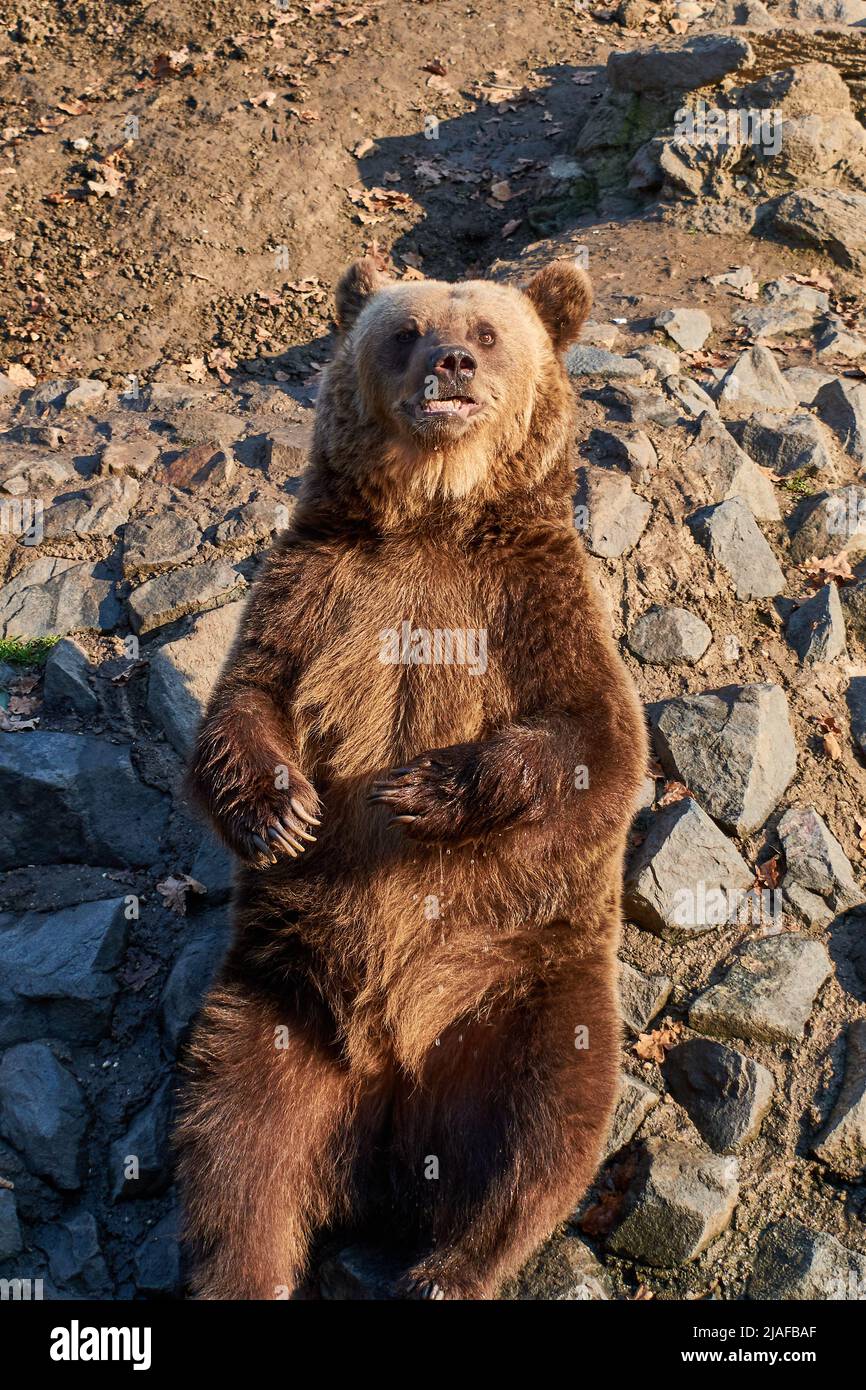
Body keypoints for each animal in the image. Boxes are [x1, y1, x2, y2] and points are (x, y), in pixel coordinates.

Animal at [175, 256, 649, 1300]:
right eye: (406, 331)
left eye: (491, 331)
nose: (453, 363)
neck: (434, 515)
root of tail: (392, 1111)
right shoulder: (317, 588)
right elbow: (246, 698)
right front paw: (283, 814)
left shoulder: (536, 604)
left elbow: (598, 743)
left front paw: (422, 792)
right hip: (276, 1005)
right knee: (234, 1151)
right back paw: (252, 1270)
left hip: (528, 985)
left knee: (543, 1132)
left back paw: (446, 1266)